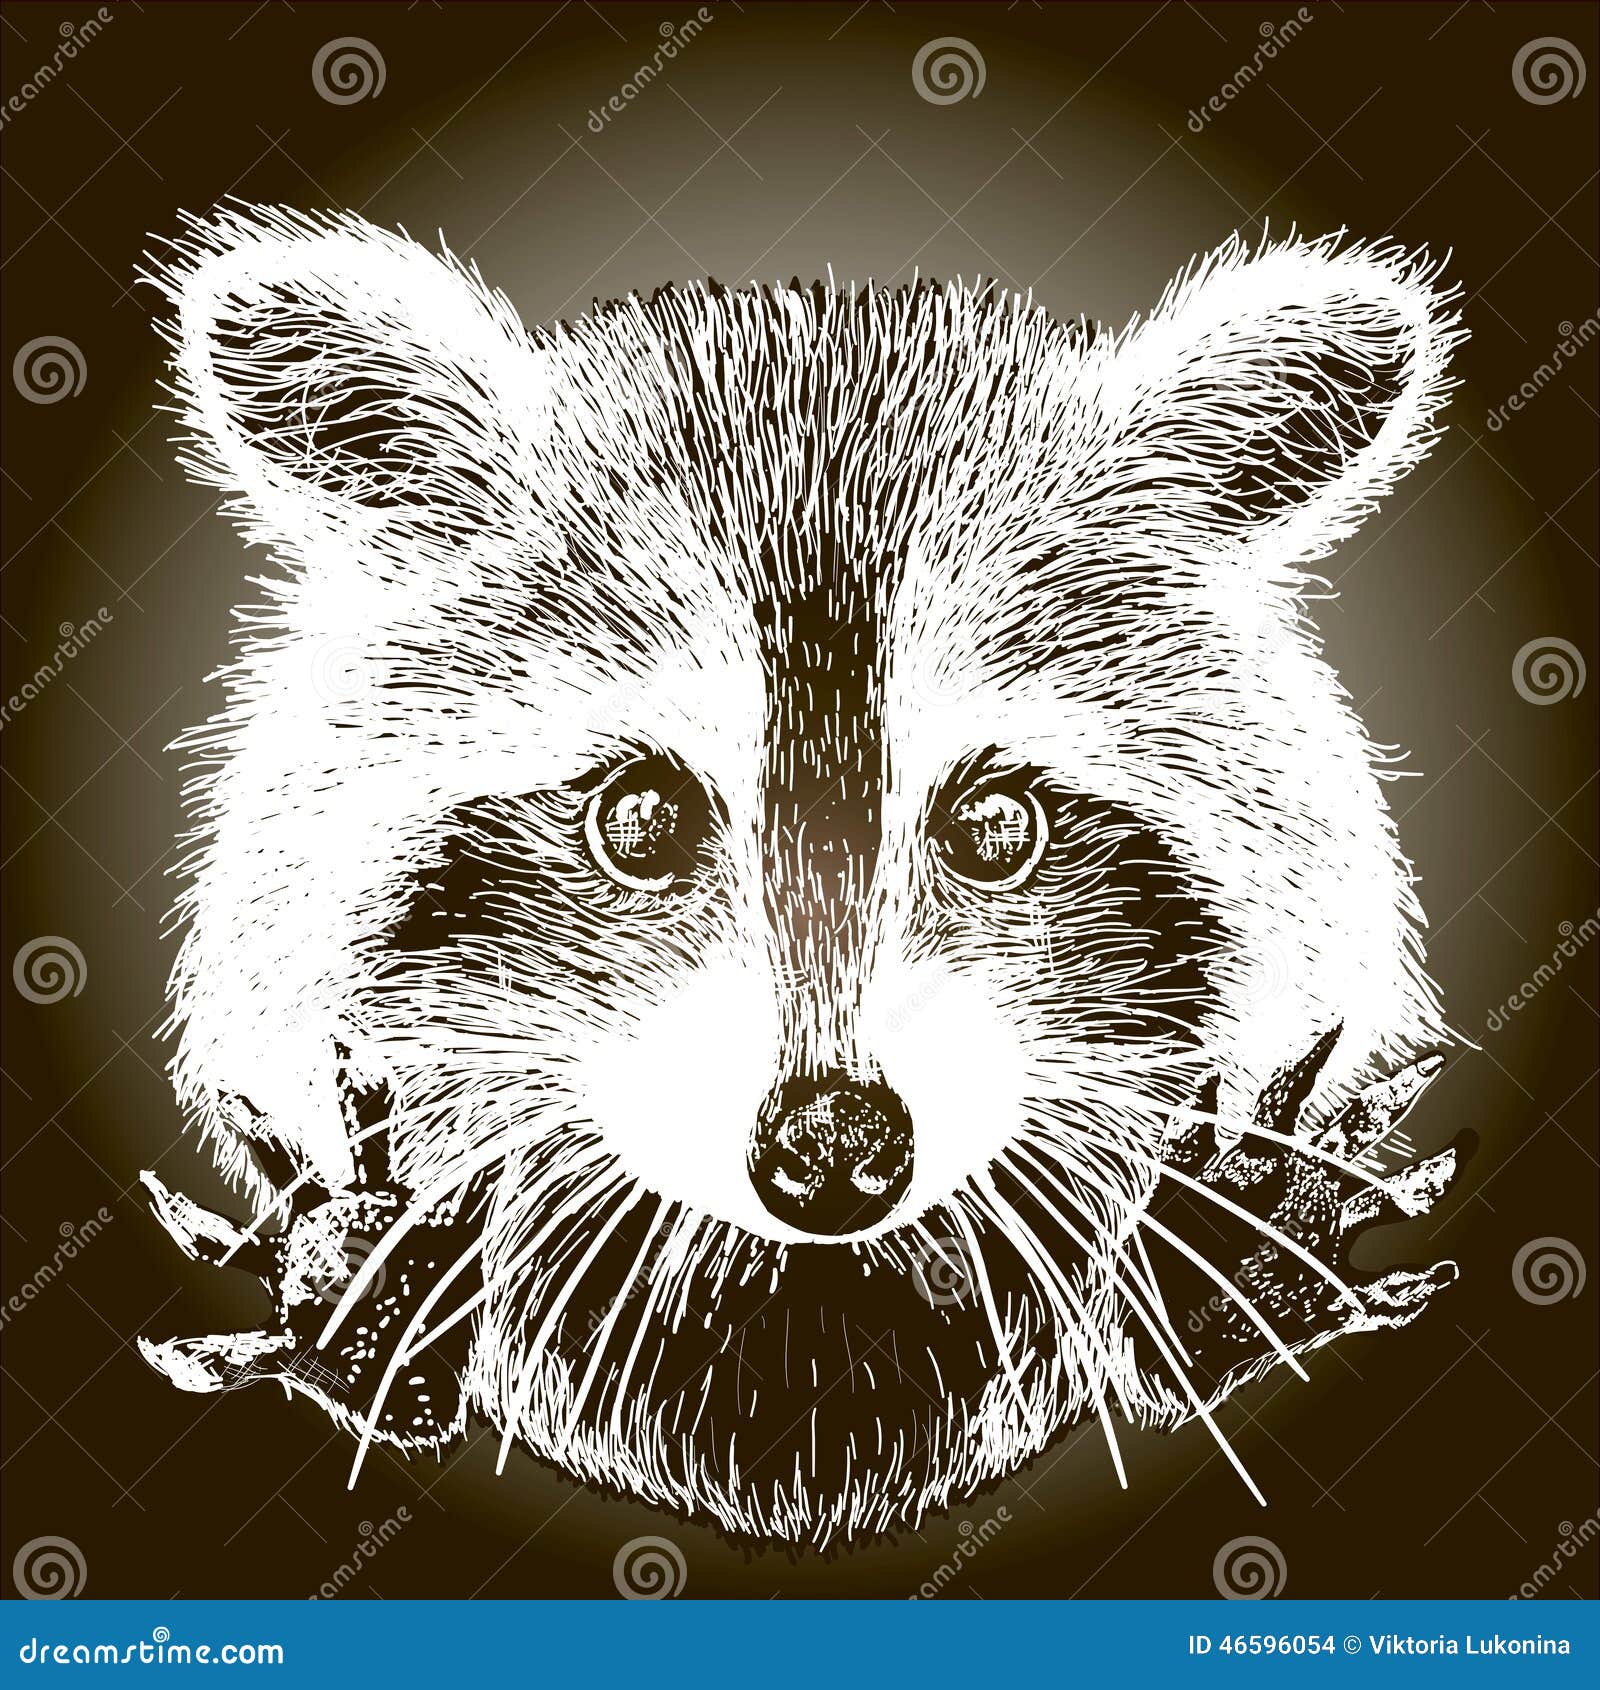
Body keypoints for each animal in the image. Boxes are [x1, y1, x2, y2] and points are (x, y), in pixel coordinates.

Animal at [138, 206, 1469, 1546]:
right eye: (639, 819)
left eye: (995, 826)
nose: (832, 1144)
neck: (807, 1310)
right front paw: (373, 1271)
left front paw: (1226, 1241)